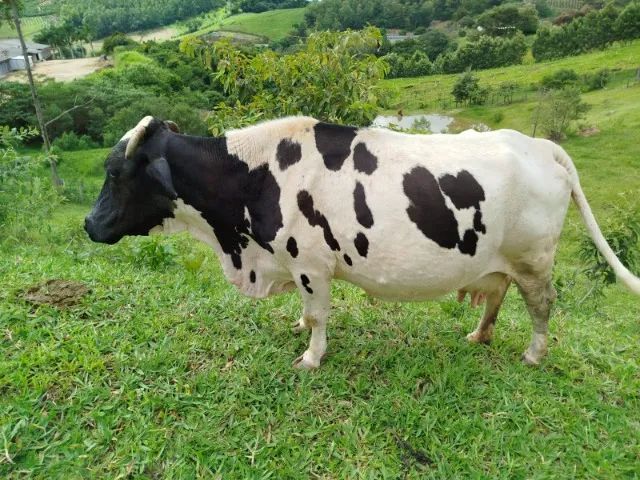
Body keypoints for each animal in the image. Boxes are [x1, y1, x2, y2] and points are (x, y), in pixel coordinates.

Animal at [85, 116, 640, 369]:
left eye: (113, 173)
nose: (89, 225)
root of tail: (538, 144)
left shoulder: (311, 264)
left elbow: (318, 317)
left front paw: (310, 357)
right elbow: (306, 312)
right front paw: (297, 327)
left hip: (534, 259)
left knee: (542, 304)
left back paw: (533, 354)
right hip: (499, 258)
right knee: (497, 292)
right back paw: (479, 335)